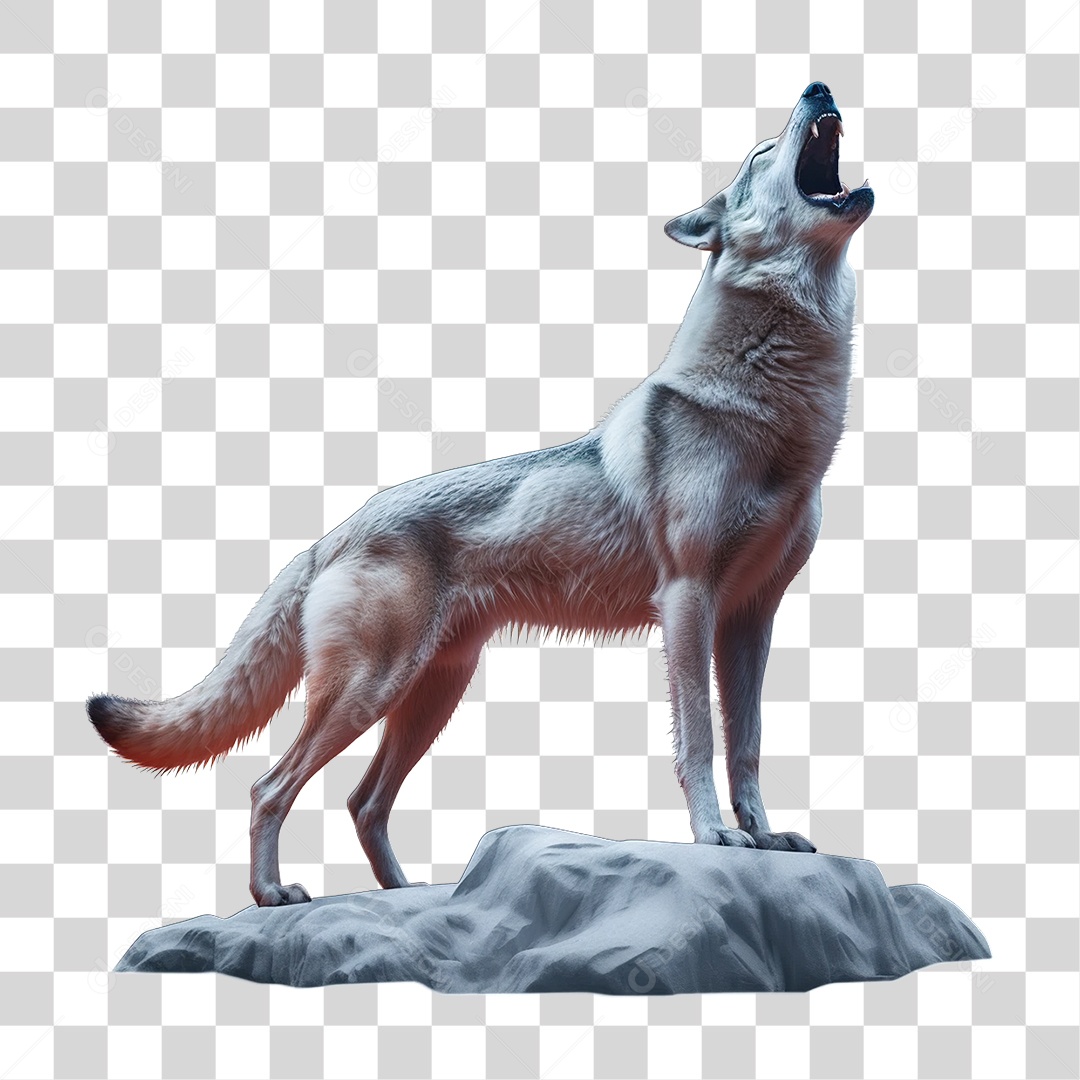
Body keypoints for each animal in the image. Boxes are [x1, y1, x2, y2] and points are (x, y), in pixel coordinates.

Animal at [89, 83, 873, 906]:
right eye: (763, 151)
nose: (818, 88)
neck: (771, 415)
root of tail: (331, 533)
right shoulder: (689, 600)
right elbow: (698, 738)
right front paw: (715, 836)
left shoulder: (751, 616)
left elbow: (746, 745)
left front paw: (762, 837)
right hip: (372, 692)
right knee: (270, 787)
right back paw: (276, 896)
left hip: (430, 696)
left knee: (362, 801)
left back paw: (411, 896)